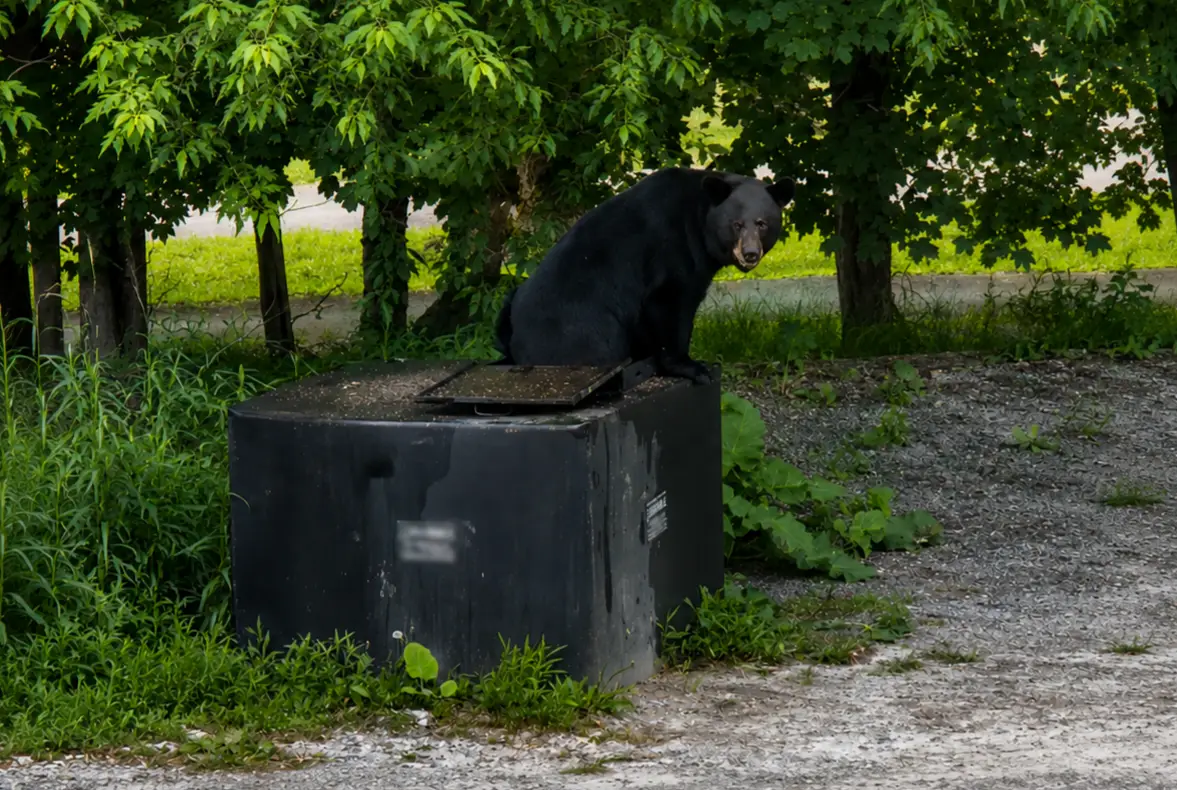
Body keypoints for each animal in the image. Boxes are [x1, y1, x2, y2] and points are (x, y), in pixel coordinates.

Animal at [494, 166, 795, 384]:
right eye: (736, 224)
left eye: (762, 224)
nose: (750, 254)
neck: (699, 221)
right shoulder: (672, 250)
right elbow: (671, 304)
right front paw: (693, 367)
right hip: (581, 333)